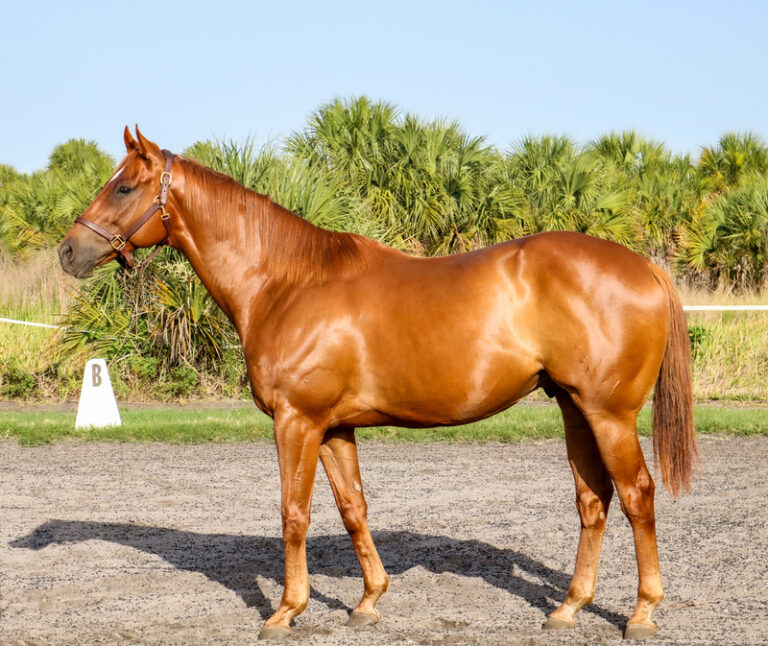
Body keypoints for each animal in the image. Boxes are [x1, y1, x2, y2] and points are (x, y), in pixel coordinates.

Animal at [58, 127, 697, 641]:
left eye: (123, 187)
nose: (69, 251)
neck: (286, 284)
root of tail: (644, 266)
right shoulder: (334, 428)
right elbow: (352, 508)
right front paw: (368, 601)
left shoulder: (297, 422)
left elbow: (294, 513)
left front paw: (286, 612)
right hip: (573, 406)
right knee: (594, 499)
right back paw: (567, 609)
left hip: (609, 414)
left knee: (637, 495)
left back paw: (641, 614)